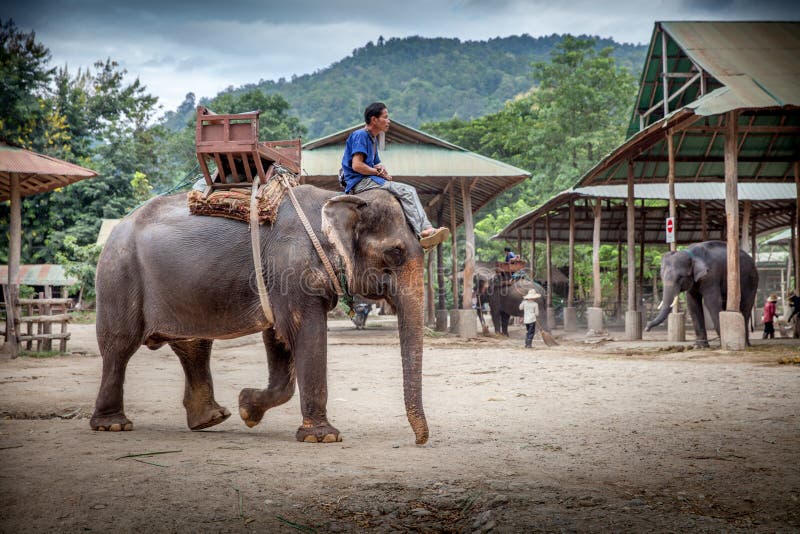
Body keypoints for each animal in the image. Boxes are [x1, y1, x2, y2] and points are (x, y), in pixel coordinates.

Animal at [90, 186, 430, 444]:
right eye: (395, 252)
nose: (418, 441)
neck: (333, 199)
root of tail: (118, 227)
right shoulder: (288, 269)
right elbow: (305, 332)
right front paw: (323, 437)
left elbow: (279, 338)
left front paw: (247, 408)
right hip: (119, 276)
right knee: (119, 345)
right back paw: (113, 425)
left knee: (193, 345)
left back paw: (211, 419)